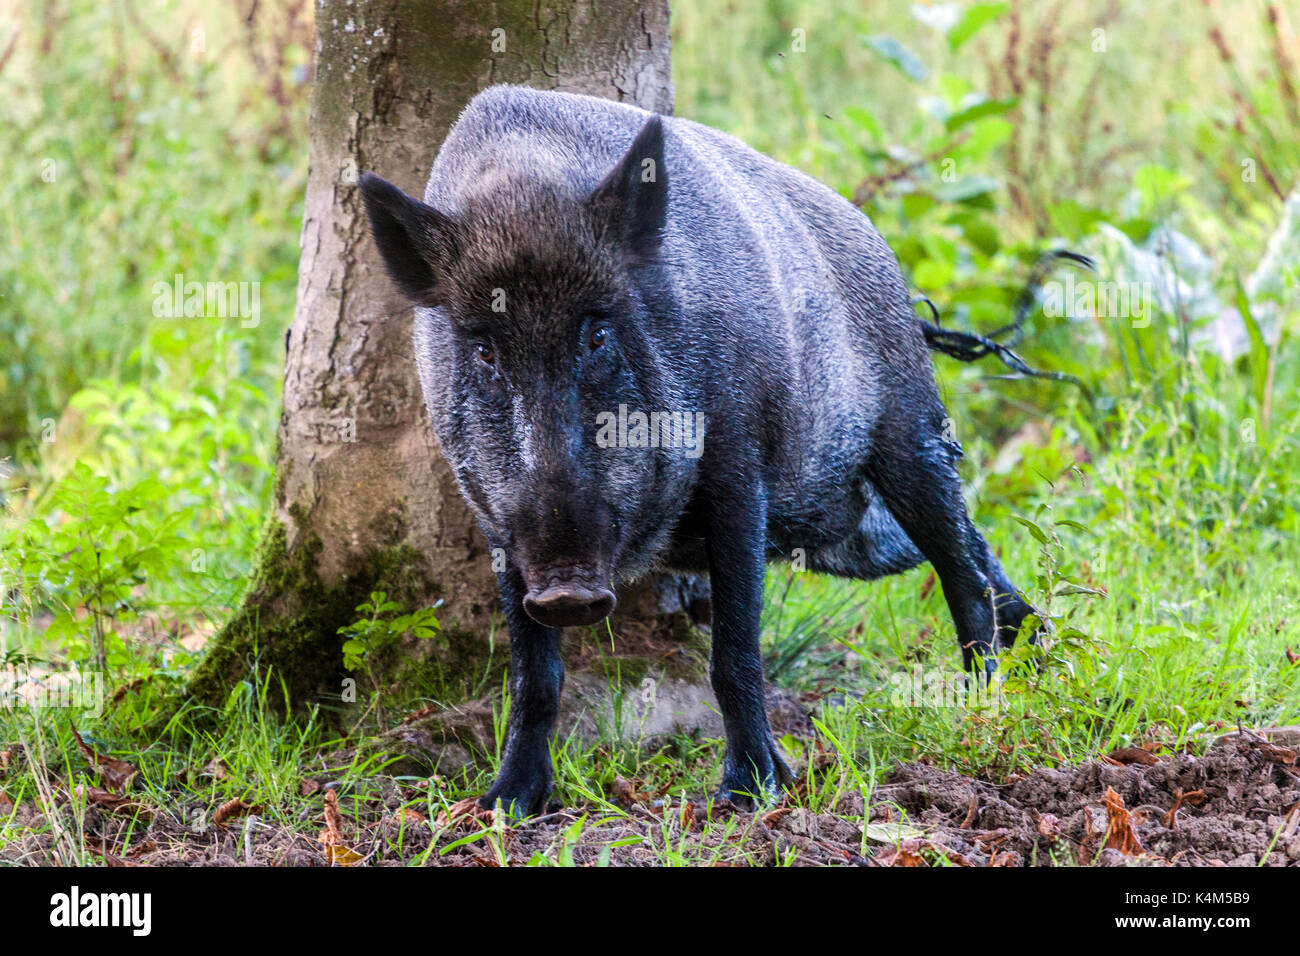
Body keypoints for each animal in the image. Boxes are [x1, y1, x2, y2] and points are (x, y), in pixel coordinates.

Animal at [359, 85, 1039, 816]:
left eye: (597, 334)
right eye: (484, 350)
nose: (568, 591)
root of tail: (883, 255)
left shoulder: (738, 464)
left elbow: (734, 650)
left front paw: (750, 794)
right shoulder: (496, 516)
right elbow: (532, 671)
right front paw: (504, 806)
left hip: (911, 430)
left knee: (959, 562)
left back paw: (983, 703)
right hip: (847, 526)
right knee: (977, 548)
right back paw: (1040, 649)